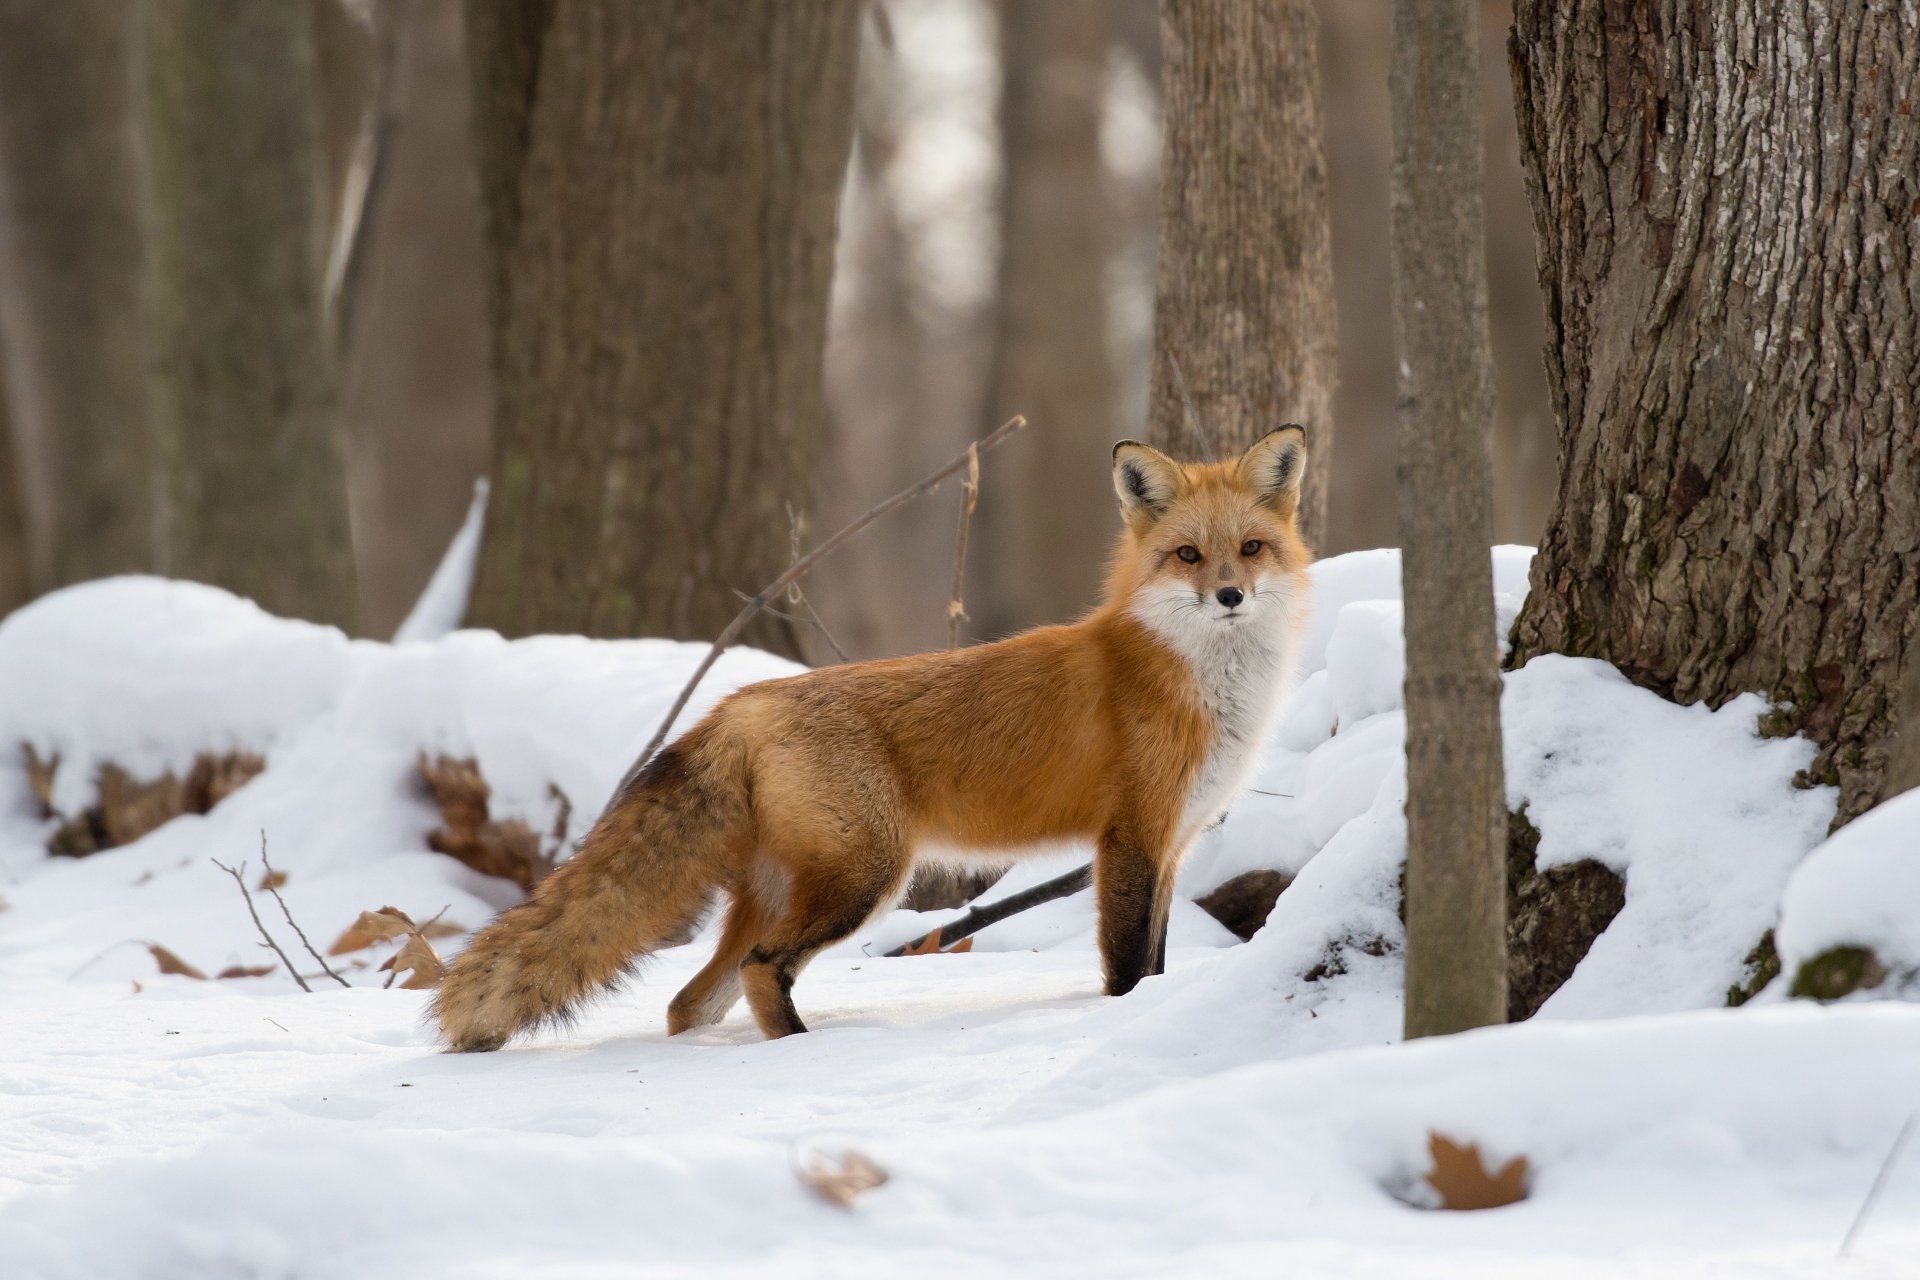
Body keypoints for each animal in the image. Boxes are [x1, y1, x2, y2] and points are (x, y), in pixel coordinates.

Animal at [432, 426, 1312, 1050]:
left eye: (1251, 548)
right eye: (1187, 554)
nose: (1230, 595)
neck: (1198, 681)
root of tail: (744, 701)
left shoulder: (1172, 844)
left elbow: (1158, 959)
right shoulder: (1130, 838)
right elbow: (1128, 967)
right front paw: (1124, 1020)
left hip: (787, 890)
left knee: (691, 1000)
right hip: (867, 879)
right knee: (760, 970)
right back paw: (805, 1052)